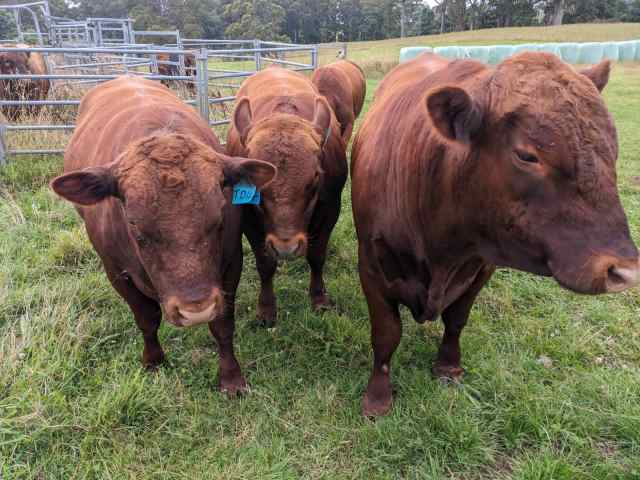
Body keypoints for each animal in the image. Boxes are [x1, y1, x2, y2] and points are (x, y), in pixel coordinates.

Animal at [50, 76, 276, 394]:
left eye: (220, 216)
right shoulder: (115, 270)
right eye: (133, 223)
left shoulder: (231, 261)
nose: (195, 310)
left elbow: (223, 324)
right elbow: (147, 318)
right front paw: (153, 360)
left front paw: (231, 378)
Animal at [227, 66, 348, 326]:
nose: (286, 248)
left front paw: (319, 298)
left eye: (315, 178)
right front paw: (266, 308)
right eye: (255, 181)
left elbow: (317, 256)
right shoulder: (247, 217)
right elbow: (265, 264)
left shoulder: (331, 207)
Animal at [351, 52, 640, 417]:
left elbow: (457, 319)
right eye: (527, 155)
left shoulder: (481, 266)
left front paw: (448, 366)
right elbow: (387, 333)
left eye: (612, 147)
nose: (624, 270)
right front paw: (377, 398)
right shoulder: (372, 265)